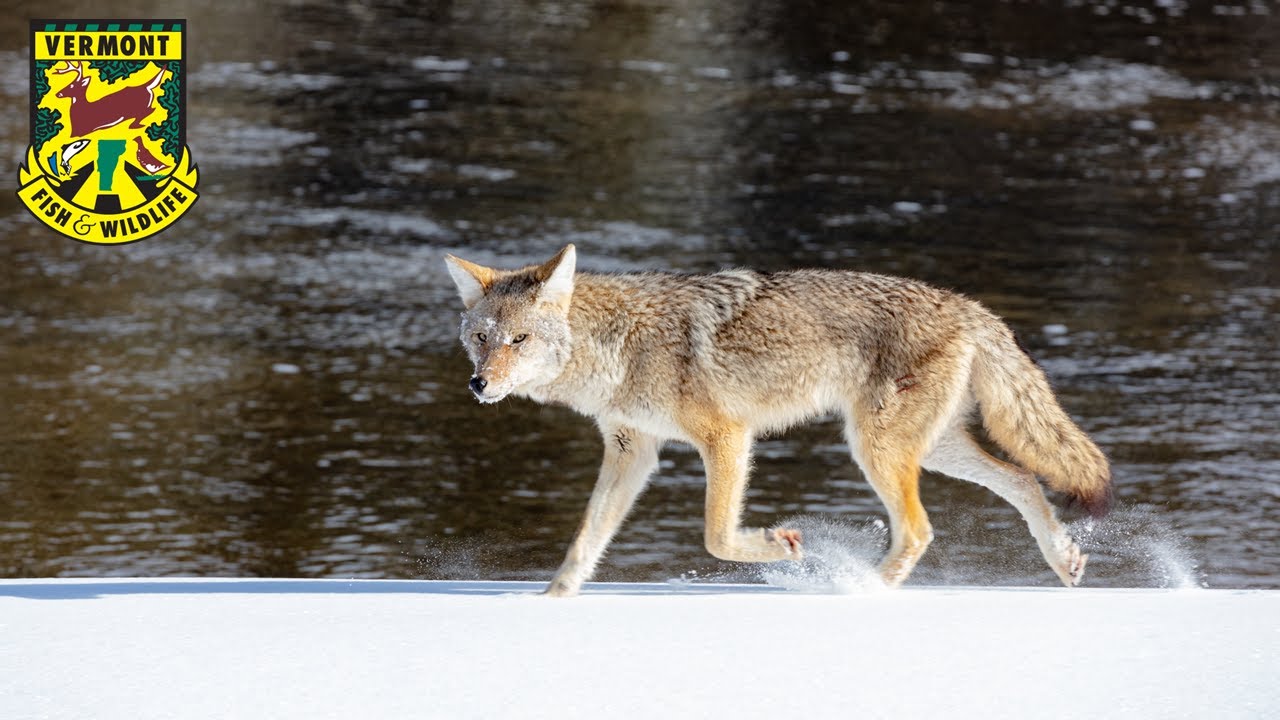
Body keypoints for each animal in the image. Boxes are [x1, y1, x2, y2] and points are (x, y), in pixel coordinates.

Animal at [444, 244, 1112, 597]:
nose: (479, 383)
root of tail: (971, 307)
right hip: (930, 449)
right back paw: (1064, 559)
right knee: (1023, 480)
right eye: (480, 339)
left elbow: (716, 535)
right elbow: (586, 540)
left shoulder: (727, 437)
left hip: (876, 448)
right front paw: (550, 601)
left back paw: (860, 589)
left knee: (921, 529)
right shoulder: (633, 449)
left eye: (519, 340)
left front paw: (781, 548)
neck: (619, 345)